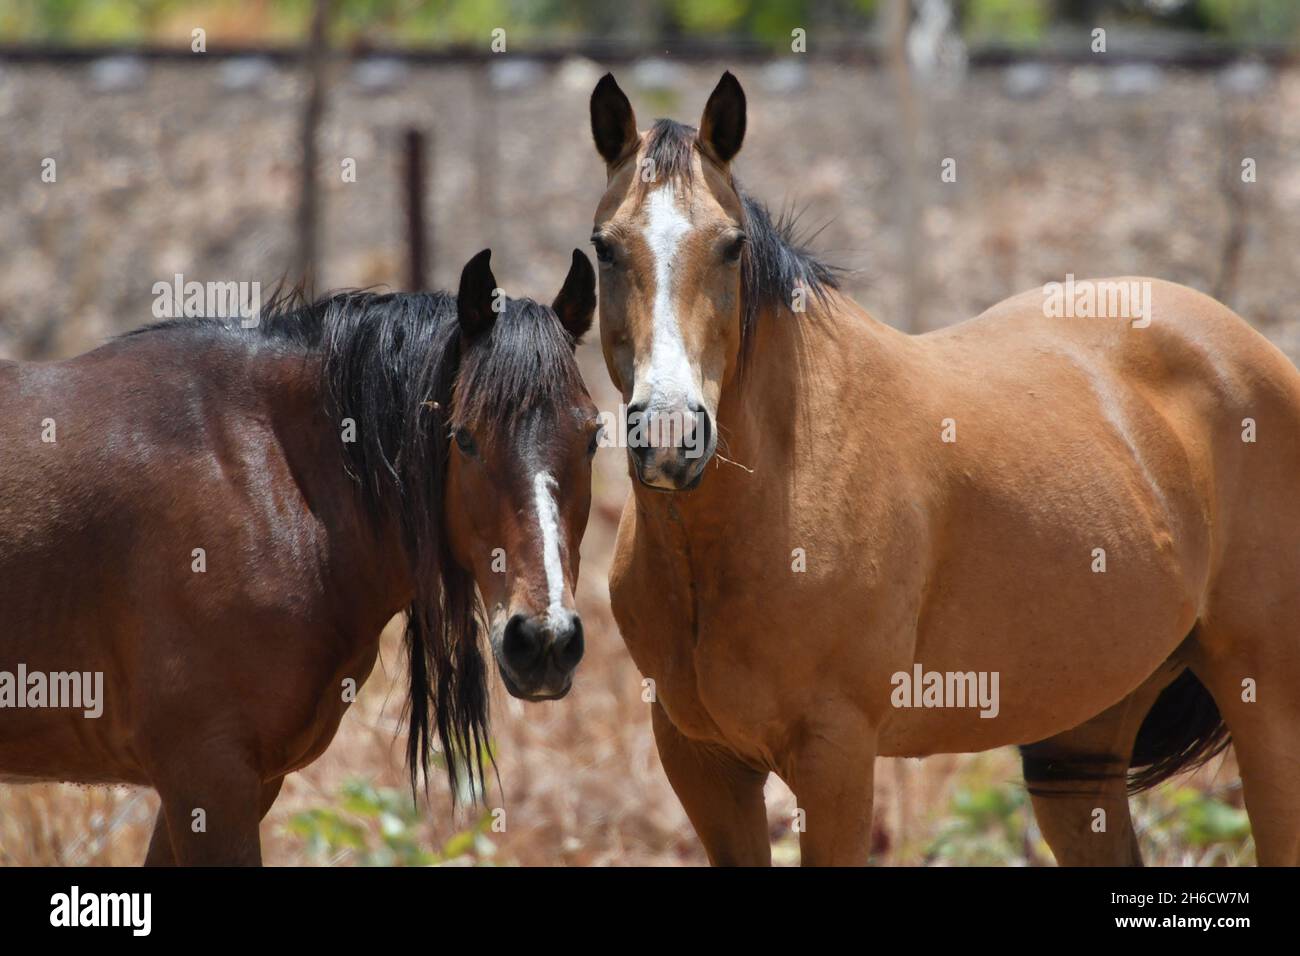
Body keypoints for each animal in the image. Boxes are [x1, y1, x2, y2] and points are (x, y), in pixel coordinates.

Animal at [0, 248, 600, 865]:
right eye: (464, 437)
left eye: (593, 438)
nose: (545, 640)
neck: (261, 470)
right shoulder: (207, 774)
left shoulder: (236, 783)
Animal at [587, 71, 1300, 866]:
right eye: (605, 248)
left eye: (731, 246)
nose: (670, 434)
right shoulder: (702, 762)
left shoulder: (834, 757)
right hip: (1079, 747)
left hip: (1267, 706)